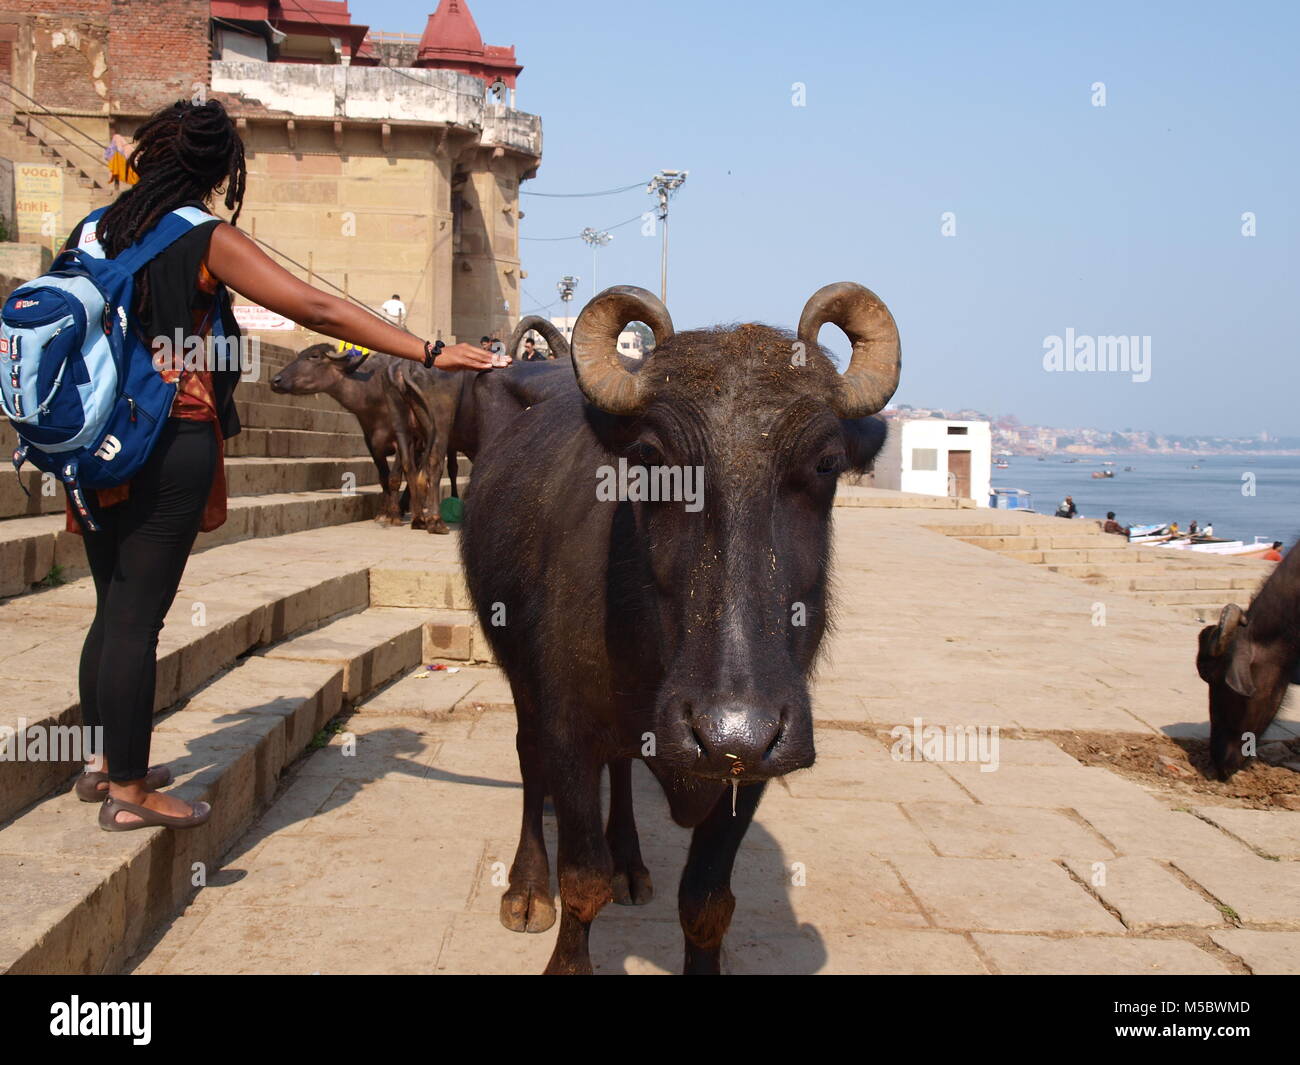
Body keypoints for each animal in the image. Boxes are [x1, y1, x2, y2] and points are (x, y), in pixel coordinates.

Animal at [270, 344, 423, 527]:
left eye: (314, 356)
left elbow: (394, 478)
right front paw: (383, 513)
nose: (275, 381)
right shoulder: (372, 442)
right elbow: (383, 478)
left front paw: (393, 517)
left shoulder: (404, 439)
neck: (375, 393)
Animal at [460, 282, 897, 974]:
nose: (729, 731)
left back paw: (630, 865)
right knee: (530, 761)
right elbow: (581, 880)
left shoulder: (755, 763)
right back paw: (528, 889)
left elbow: (706, 902)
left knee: (620, 767)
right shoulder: (568, 725)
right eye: (650, 456)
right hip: (519, 675)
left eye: (827, 462)